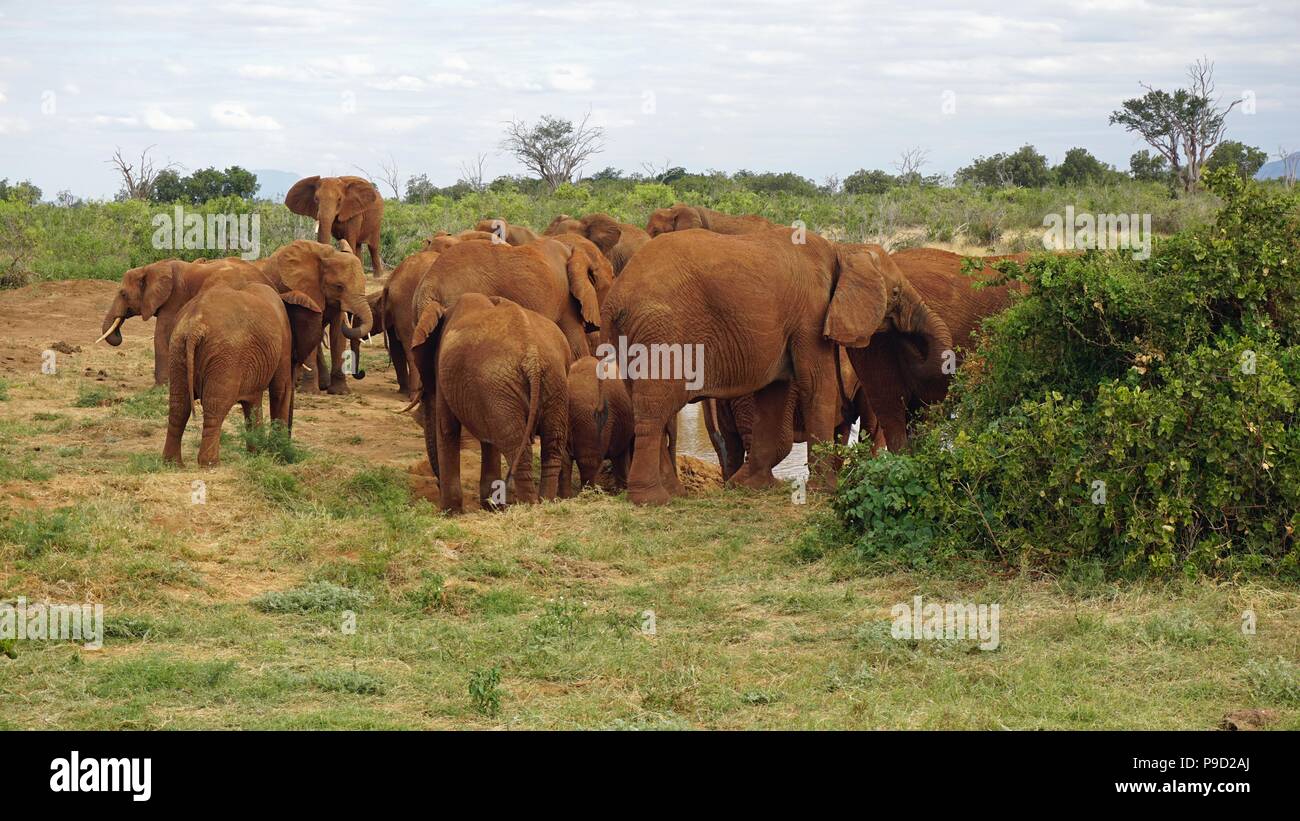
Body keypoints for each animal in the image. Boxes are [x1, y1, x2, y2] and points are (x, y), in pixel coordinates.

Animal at [162, 270, 303, 467]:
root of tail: (195, 326)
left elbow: (253, 401)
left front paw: (256, 454)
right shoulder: (283, 338)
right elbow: (280, 389)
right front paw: (277, 455)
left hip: (177, 349)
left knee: (178, 405)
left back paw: (172, 463)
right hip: (225, 355)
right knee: (215, 406)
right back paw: (210, 464)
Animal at [419, 293, 572, 513]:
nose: (436, 483)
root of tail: (533, 357)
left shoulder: (444, 371)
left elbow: (447, 429)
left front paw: (450, 513)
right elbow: (488, 437)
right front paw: (491, 507)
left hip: (501, 384)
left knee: (516, 445)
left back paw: (530, 506)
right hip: (552, 381)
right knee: (552, 443)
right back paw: (545, 503)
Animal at [600, 228, 951, 505]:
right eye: (895, 293)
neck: (841, 250)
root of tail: (615, 297)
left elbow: (775, 393)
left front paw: (751, 486)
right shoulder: (812, 313)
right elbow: (816, 385)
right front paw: (827, 491)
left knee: (654, 410)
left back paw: (674, 494)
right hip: (661, 333)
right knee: (655, 409)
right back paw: (652, 500)